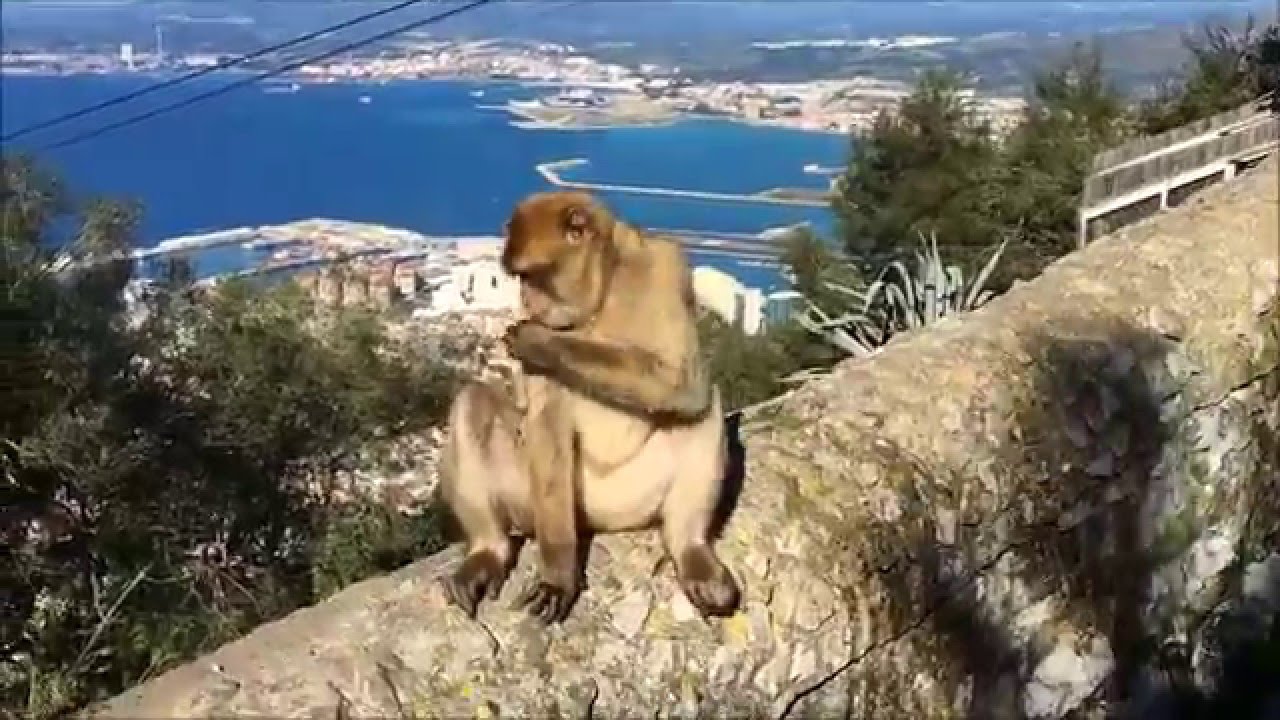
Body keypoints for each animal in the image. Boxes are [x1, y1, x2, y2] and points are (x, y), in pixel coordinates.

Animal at [437, 190, 741, 625]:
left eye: (531, 277)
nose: (526, 301)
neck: (603, 291)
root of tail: (605, 518)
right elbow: (546, 422)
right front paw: (559, 572)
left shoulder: (664, 266)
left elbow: (683, 381)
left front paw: (540, 342)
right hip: (531, 502)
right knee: (472, 401)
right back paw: (488, 551)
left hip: (637, 495)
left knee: (702, 408)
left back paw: (690, 549)